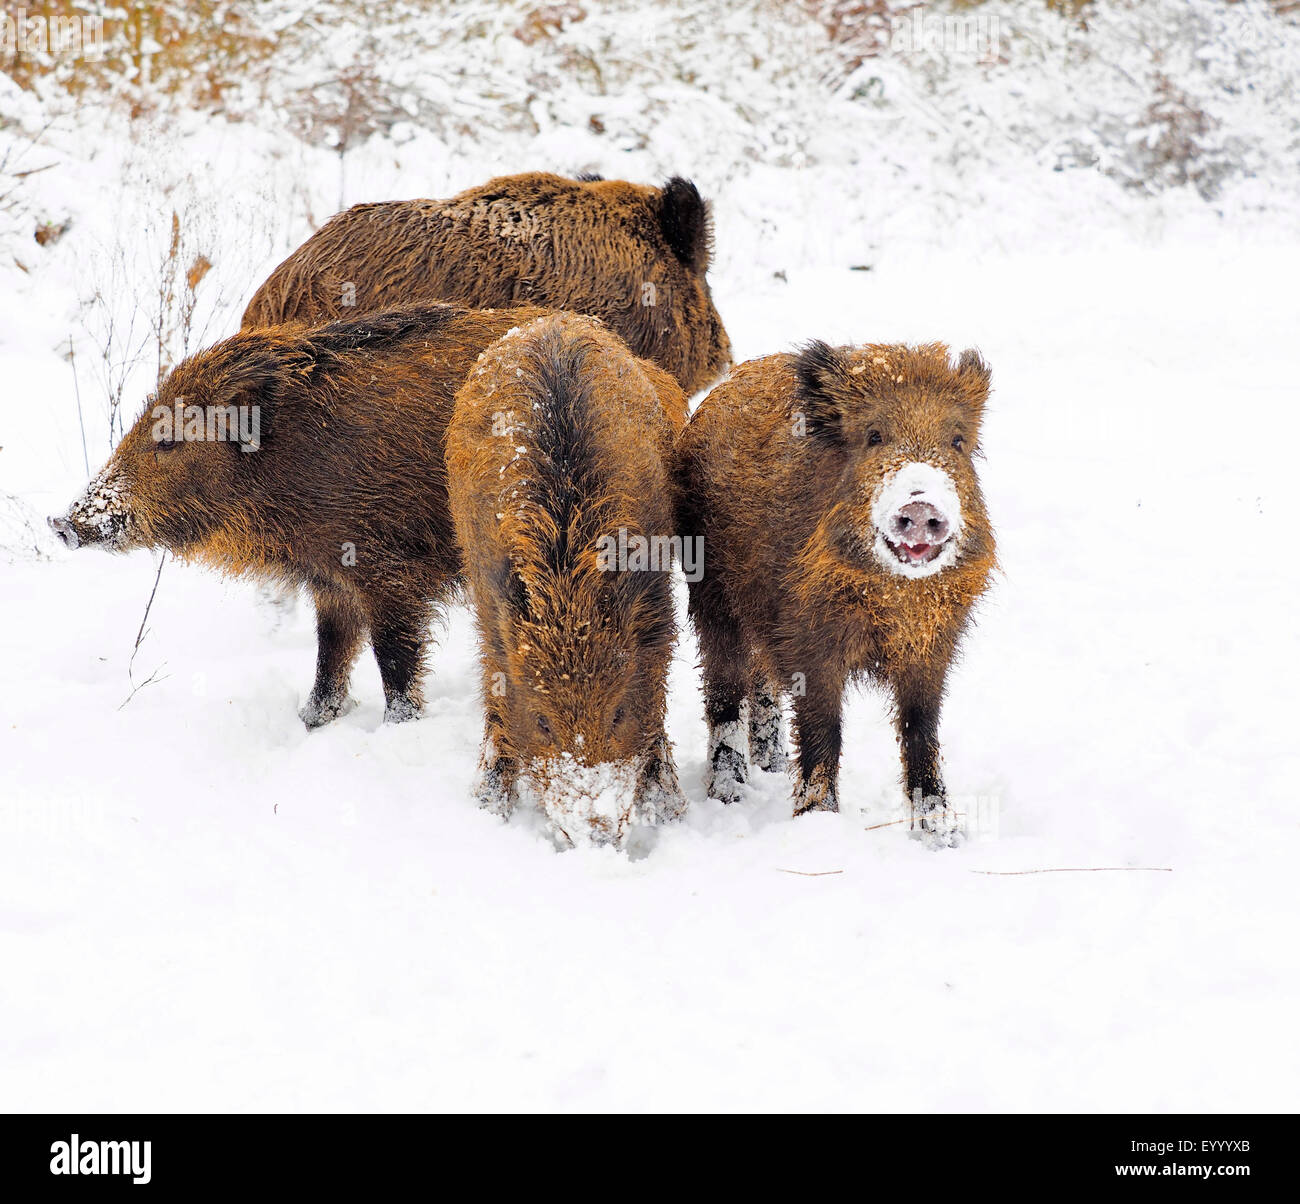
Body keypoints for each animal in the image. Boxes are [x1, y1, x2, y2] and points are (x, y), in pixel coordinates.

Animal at [49, 302, 549, 728]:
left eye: (169, 439)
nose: (60, 523)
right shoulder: (329, 581)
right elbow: (330, 651)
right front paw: (312, 720)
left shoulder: (388, 572)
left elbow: (393, 659)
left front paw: (399, 727)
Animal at [446, 311, 687, 847]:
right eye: (542, 722)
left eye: (617, 713)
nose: (595, 836)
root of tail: (551, 319)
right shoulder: (493, 614)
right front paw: (489, 807)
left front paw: (672, 812)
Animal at [676, 341, 996, 845]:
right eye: (874, 436)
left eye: (957, 441)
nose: (920, 503)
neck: (890, 600)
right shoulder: (809, 640)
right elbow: (824, 730)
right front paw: (816, 823)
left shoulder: (933, 646)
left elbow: (921, 732)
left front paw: (944, 837)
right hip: (712, 598)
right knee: (724, 691)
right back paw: (729, 793)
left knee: (762, 683)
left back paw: (771, 766)